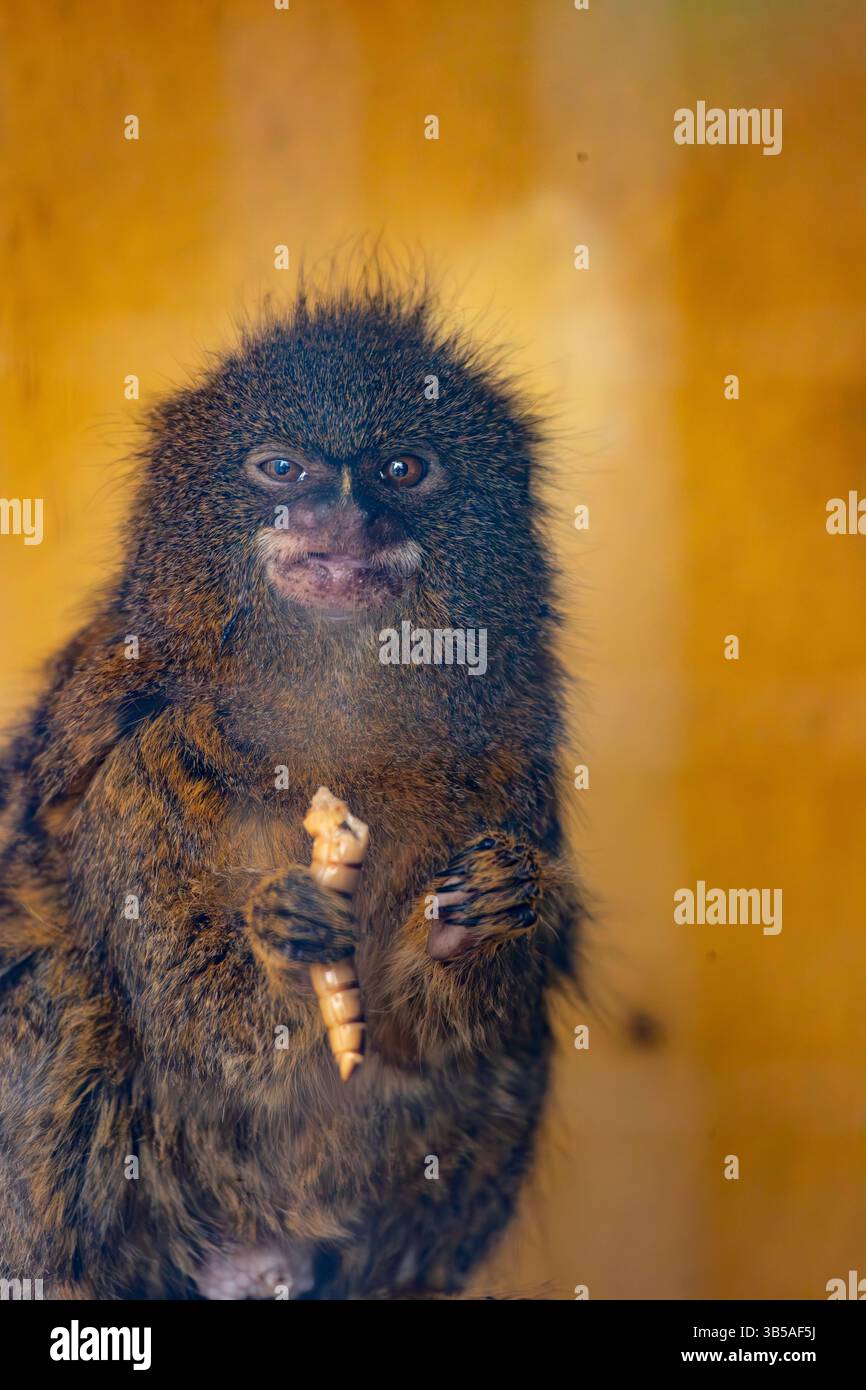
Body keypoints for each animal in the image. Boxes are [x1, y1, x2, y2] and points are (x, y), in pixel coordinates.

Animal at [0, 270, 581, 1299]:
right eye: (280, 470)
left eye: (402, 470)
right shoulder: (133, 768)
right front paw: (286, 934)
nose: (341, 517)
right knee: (58, 992)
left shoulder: (510, 762)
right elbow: (212, 1036)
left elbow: (452, 1040)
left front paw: (477, 920)